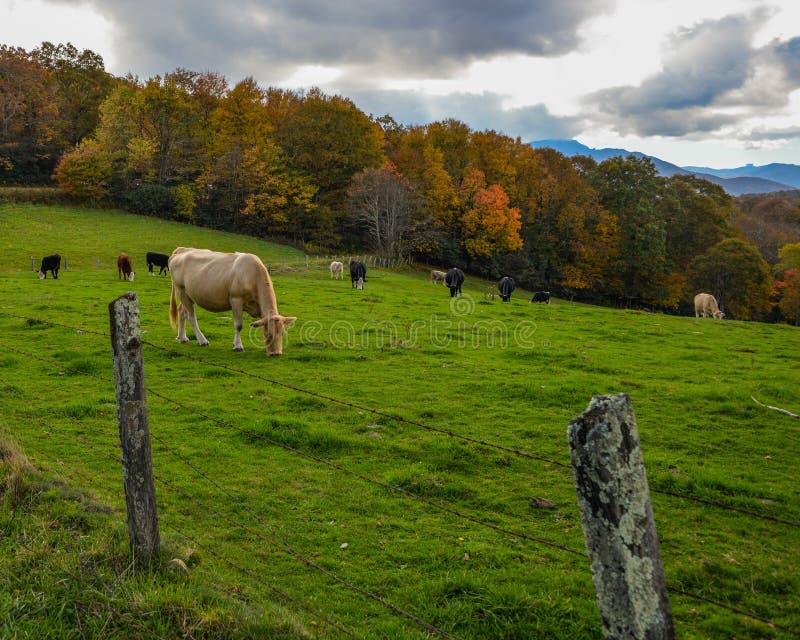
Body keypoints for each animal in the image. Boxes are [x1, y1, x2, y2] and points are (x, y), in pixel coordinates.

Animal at [168, 247, 296, 355]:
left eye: (282, 333)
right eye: (268, 334)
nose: (276, 354)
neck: (253, 274)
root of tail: (182, 250)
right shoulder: (236, 300)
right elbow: (238, 325)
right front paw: (238, 346)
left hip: (188, 294)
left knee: (181, 311)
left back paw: (182, 338)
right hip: (181, 290)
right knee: (191, 317)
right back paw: (202, 340)